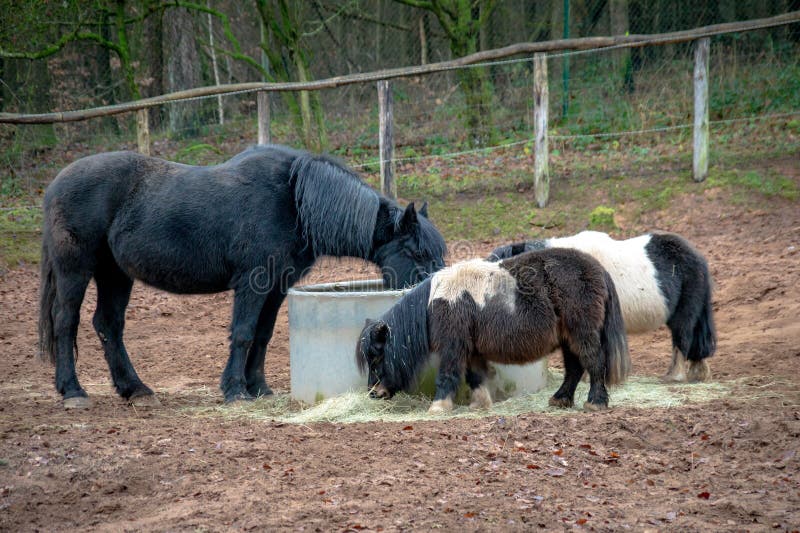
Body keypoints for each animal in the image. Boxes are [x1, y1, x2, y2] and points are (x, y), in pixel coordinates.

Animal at [39, 144, 447, 408]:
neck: (293, 200)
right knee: (66, 321)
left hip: (116, 274)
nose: (434, 292)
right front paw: (235, 391)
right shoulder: (253, 282)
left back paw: (134, 388)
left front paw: (259, 387)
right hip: (76, 270)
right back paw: (73, 392)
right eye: (416, 252)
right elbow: (243, 333)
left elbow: (263, 336)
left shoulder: (278, 285)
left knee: (108, 325)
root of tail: (55, 184)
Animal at [357, 248, 631, 413]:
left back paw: (595, 402)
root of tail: (596, 269)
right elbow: (475, 376)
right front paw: (480, 405)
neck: (435, 301)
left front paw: (438, 407)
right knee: (574, 368)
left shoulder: (453, 346)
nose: (373, 392)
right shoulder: (471, 349)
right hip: (568, 338)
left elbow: (447, 374)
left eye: (377, 357)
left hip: (582, 332)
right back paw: (560, 399)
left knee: (594, 363)